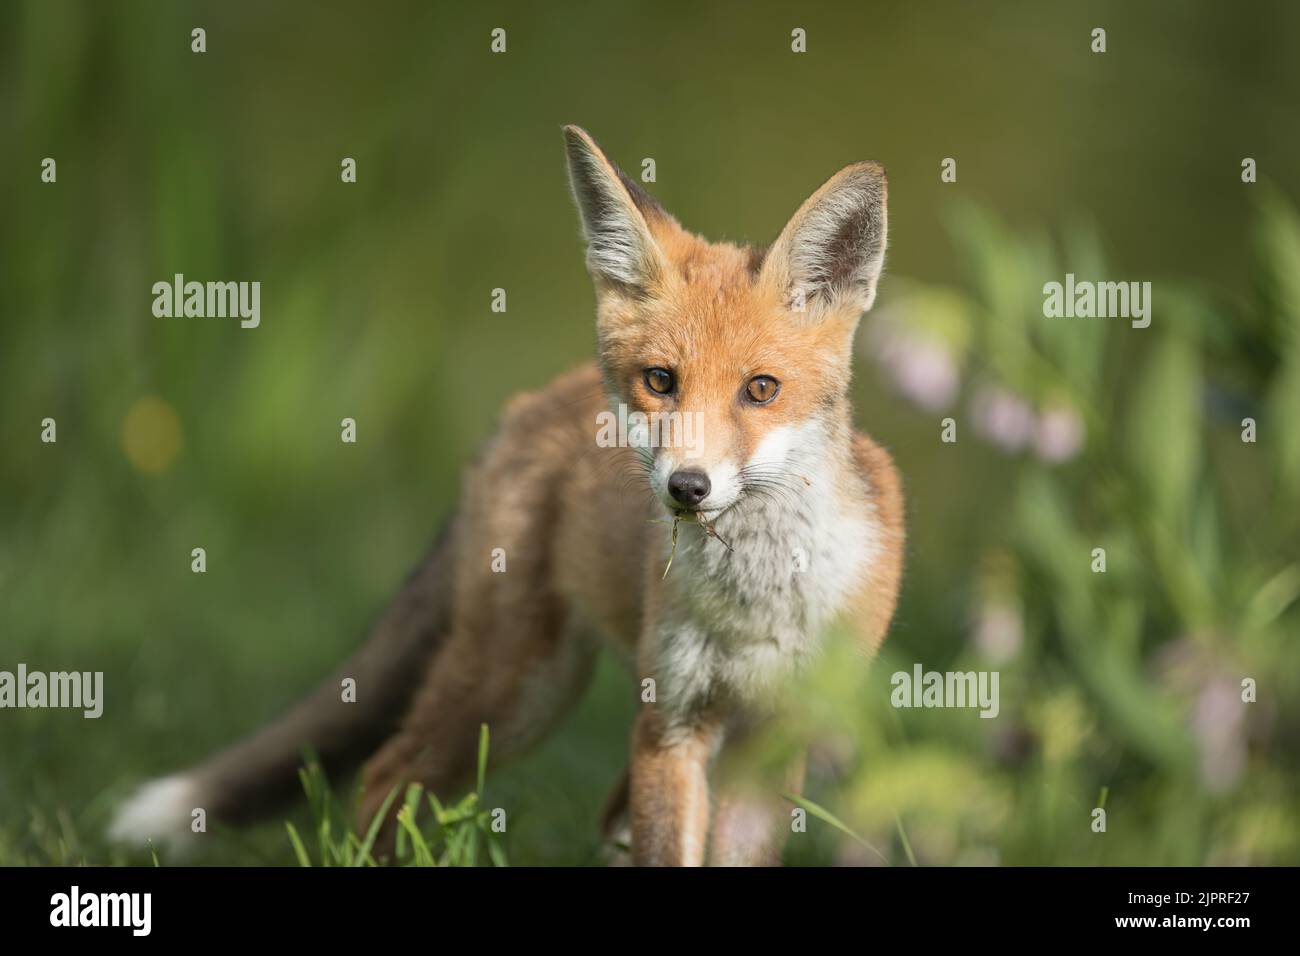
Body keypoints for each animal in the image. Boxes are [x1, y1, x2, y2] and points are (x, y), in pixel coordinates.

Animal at [109, 126, 905, 866]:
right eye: (660, 380)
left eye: (761, 389)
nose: (687, 487)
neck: (757, 604)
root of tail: (524, 407)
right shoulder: (671, 728)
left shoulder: (772, 740)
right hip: (518, 690)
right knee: (385, 773)